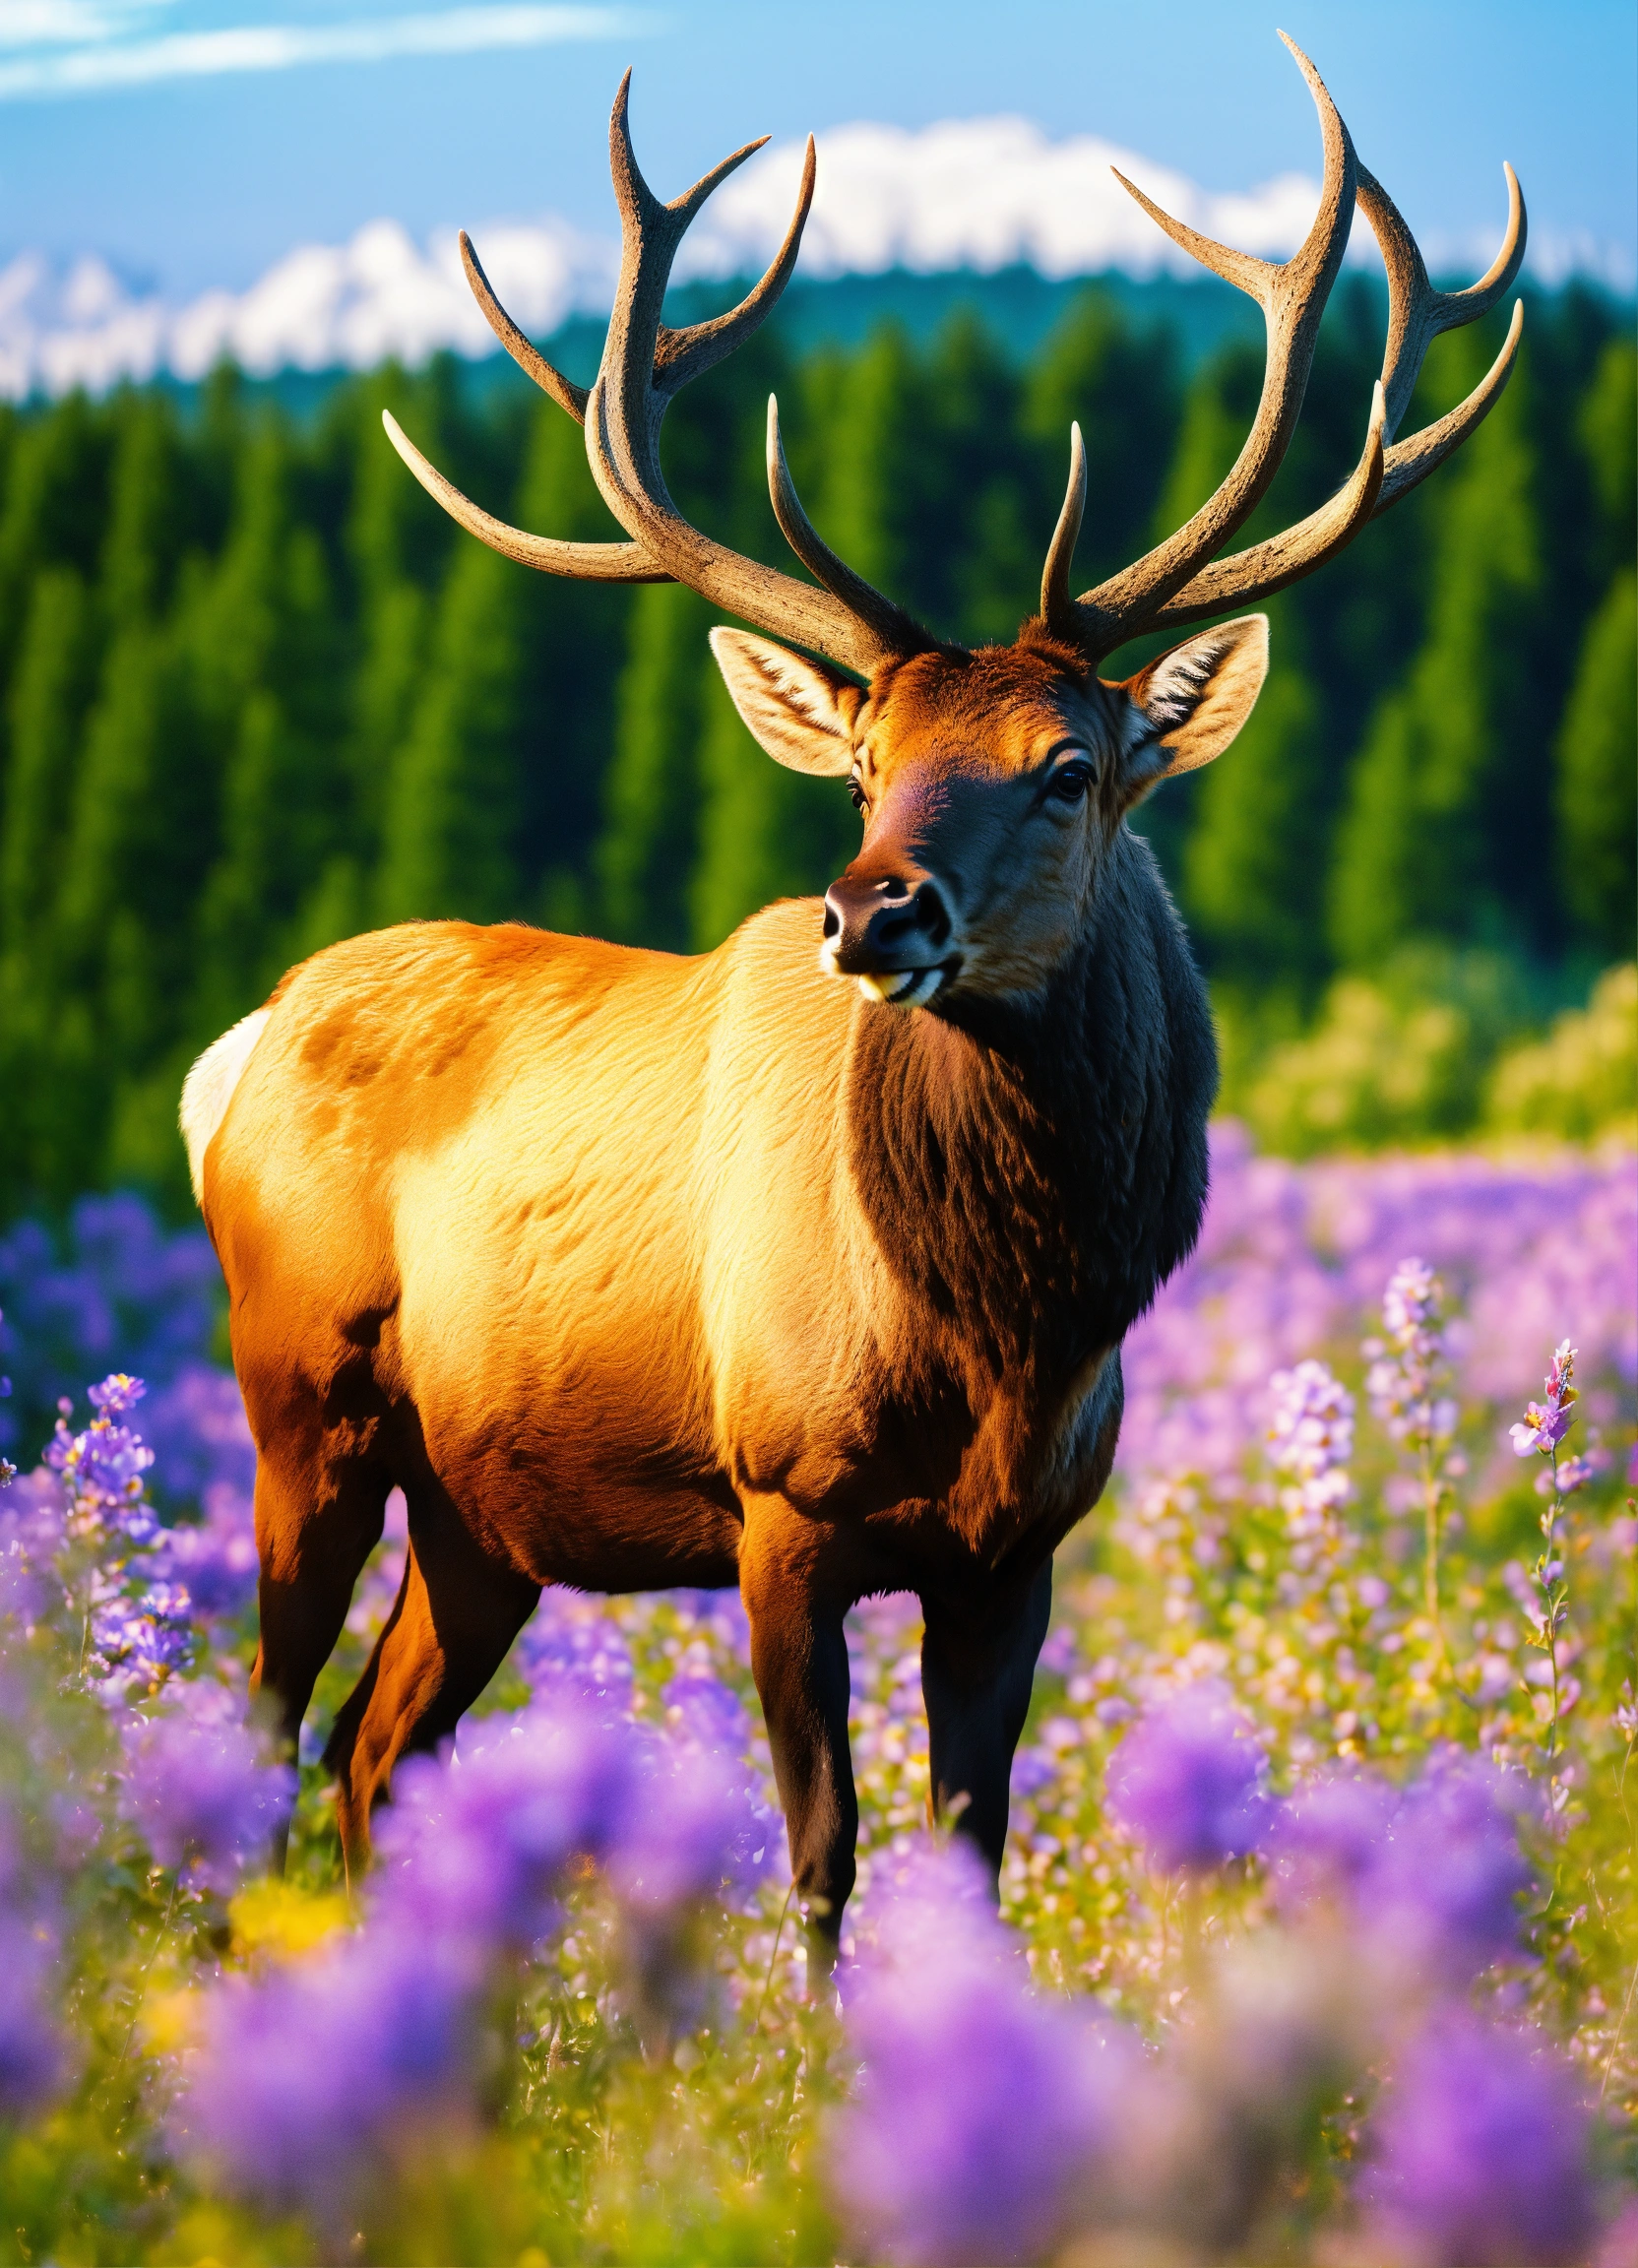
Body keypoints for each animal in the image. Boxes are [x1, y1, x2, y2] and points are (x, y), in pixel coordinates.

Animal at [181, 35, 1524, 1943]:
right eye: (866, 762)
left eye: (1067, 766)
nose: (867, 910)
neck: (996, 1331)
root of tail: (237, 1047)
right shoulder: (777, 1504)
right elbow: (822, 1853)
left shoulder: (1018, 1548)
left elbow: (972, 1842)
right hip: (302, 1401)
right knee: (265, 1724)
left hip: (481, 1506)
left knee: (377, 1756)